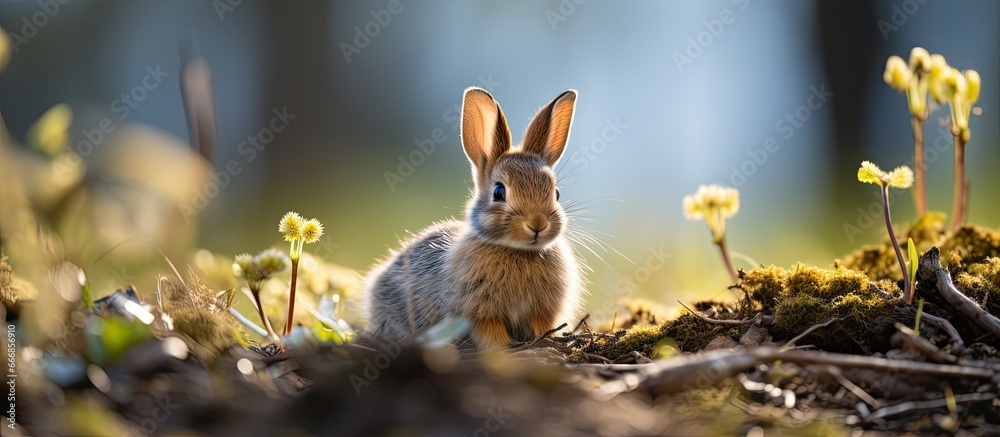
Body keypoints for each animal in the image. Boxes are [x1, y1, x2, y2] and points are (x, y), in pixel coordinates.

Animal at [365, 87, 584, 350]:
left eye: (556, 193)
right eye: (498, 192)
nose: (537, 225)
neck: (517, 250)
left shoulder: (541, 310)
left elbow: (543, 325)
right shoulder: (479, 311)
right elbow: (490, 331)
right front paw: (502, 347)